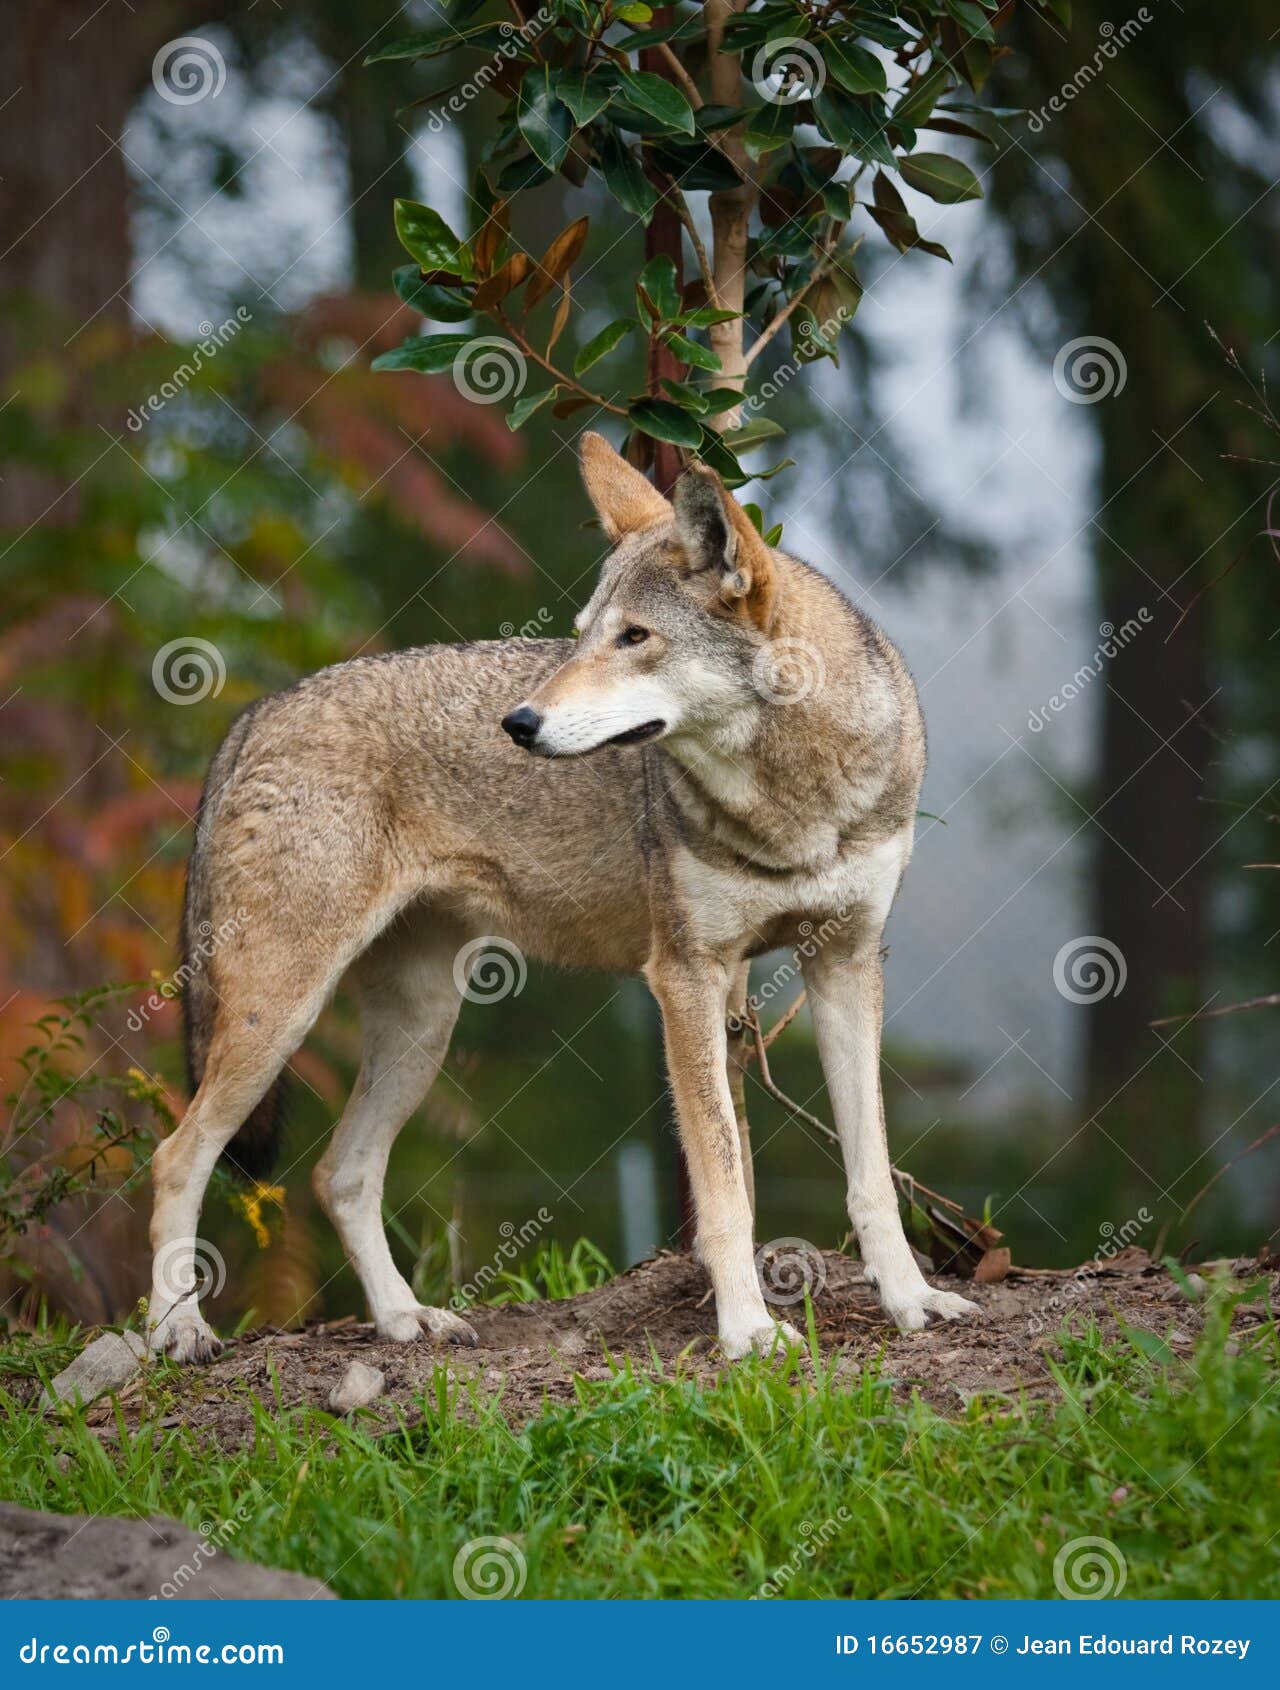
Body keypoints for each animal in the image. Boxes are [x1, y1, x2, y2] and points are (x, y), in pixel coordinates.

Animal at [147, 433, 977, 1363]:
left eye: (634, 637)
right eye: (580, 637)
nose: (519, 724)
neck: (795, 797)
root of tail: (257, 713)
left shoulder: (845, 961)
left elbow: (871, 1176)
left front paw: (913, 1302)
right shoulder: (685, 978)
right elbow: (725, 1188)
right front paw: (748, 1332)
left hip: (420, 1029)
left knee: (341, 1173)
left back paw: (404, 1320)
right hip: (281, 1014)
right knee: (177, 1155)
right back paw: (175, 1330)